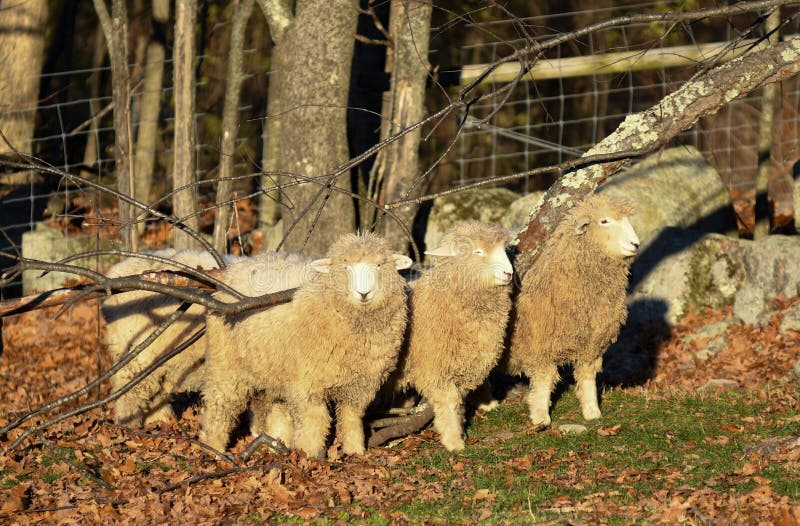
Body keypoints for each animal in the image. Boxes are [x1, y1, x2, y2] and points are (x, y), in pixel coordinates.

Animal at [200, 233, 413, 457]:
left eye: (379, 265)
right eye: (345, 267)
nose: (364, 293)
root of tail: (237, 268)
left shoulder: (360, 384)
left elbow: (351, 418)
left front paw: (355, 451)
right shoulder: (308, 382)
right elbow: (315, 421)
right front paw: (309, 454)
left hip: (274, 368)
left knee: (276, 407)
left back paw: (276, 442)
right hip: (225, 363)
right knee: (220, 404)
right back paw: (213, 447)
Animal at [389, 221, 514, 451]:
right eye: (478, 251)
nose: (508, 273)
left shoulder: (473, 355)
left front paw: (487, 404)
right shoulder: (436, 368)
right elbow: (449, 403)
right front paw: (454, 440)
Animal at [508, 194, 640, 429]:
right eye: (604, 221)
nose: (635, 244)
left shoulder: (591, 344)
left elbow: (587, 377)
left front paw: (592, 411)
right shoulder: (540, 346)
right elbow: (544, 381)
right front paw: (540, 416)